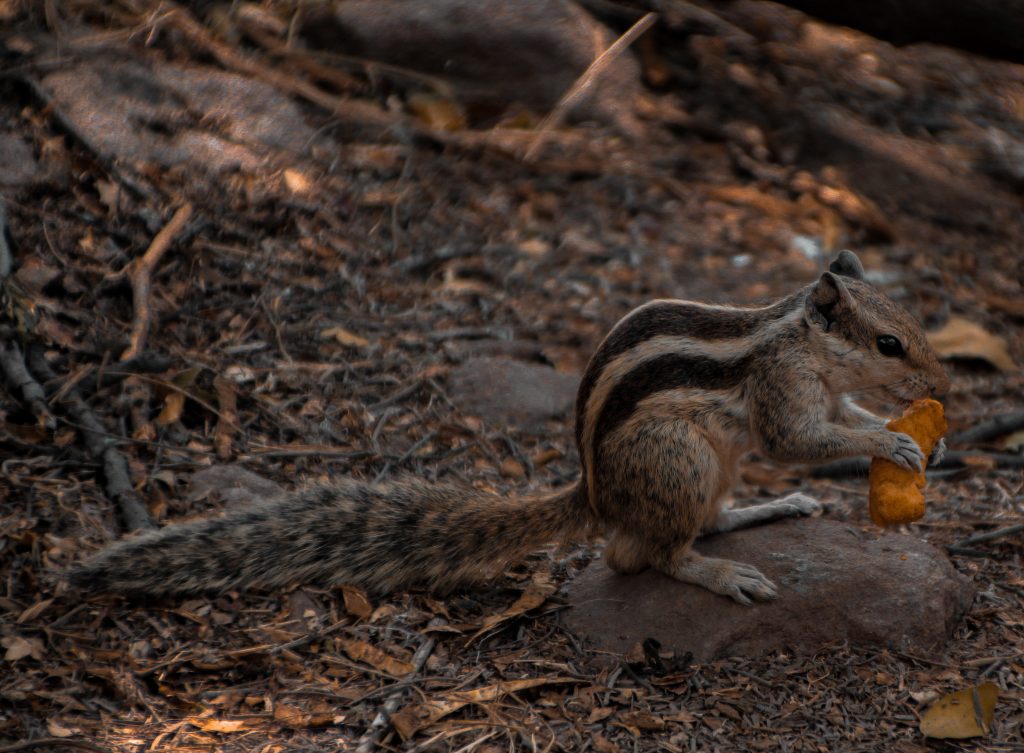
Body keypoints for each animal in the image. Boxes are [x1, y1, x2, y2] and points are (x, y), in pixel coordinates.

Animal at [69, 250, 949, 605]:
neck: (804, 344)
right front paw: (891, 440)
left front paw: (899, 433)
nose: (942, 386)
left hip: (707, 467)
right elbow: (802, 439)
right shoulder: (779, 393)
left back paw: (769, 510)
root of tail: (595, 492)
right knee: (645, 554)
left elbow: (841, 420)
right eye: (890, 342)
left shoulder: (823, 393)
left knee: (691, 525)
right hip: (681, 458)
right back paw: (719, 571)